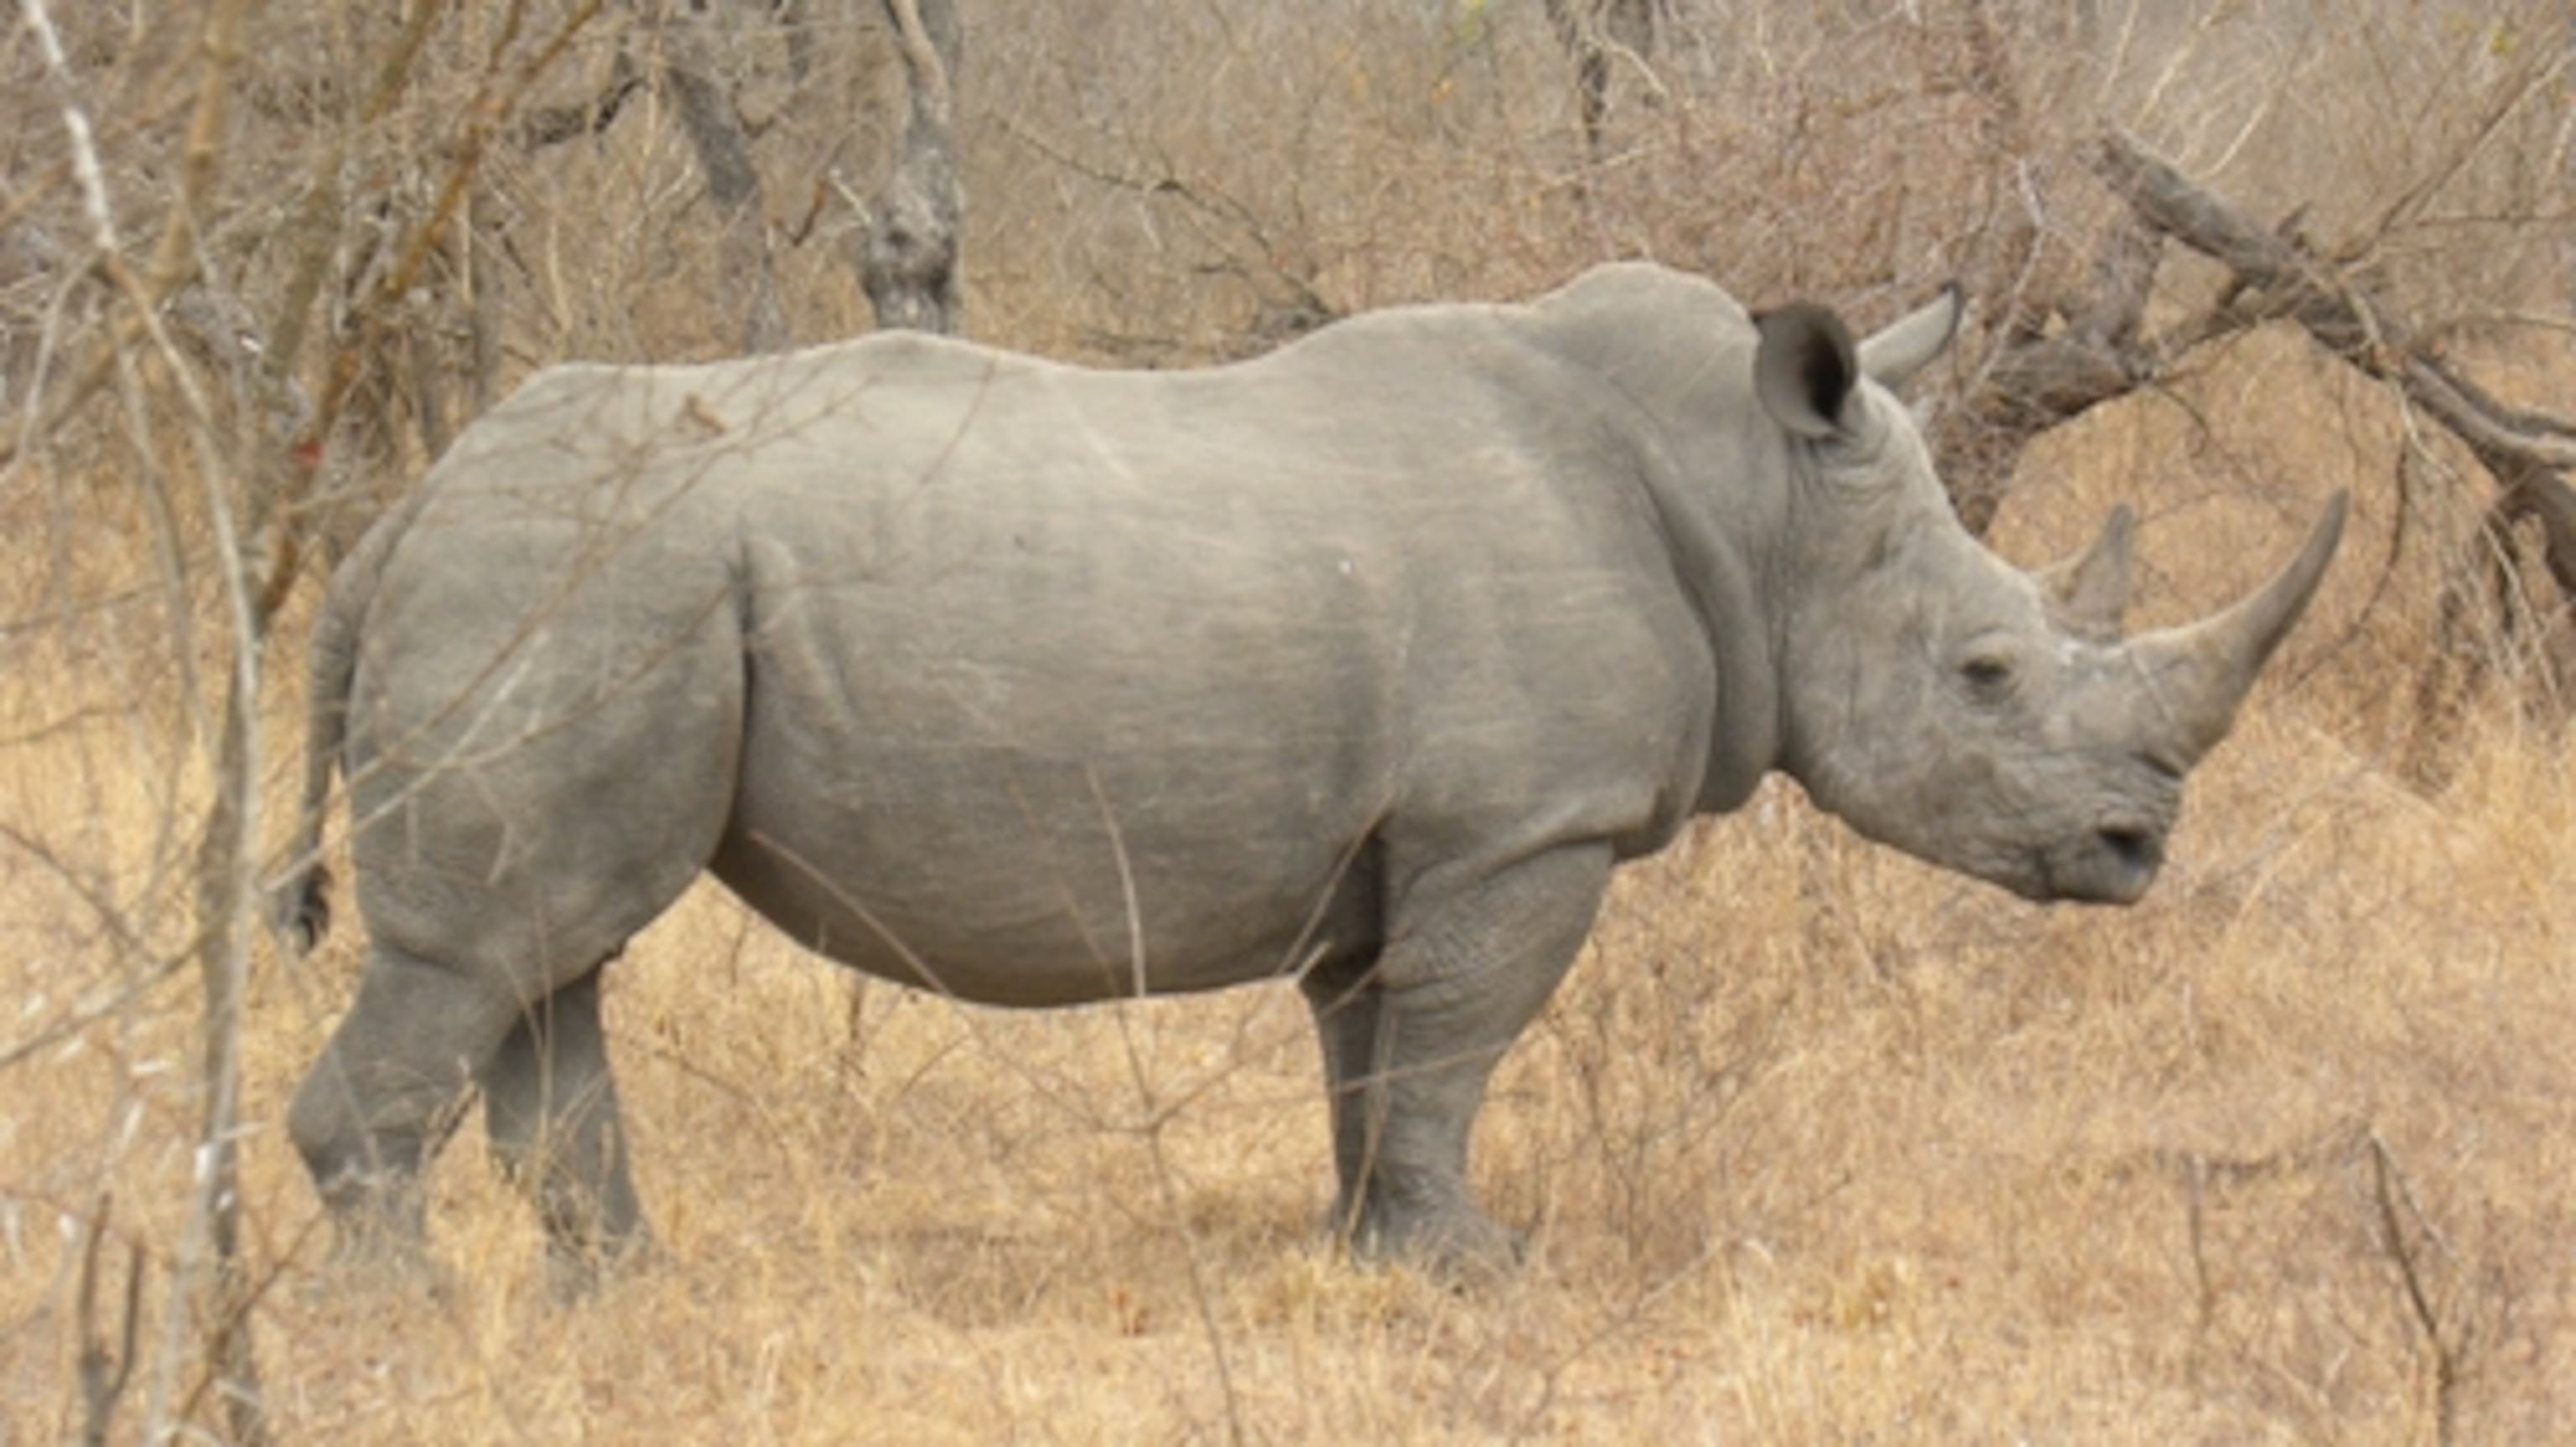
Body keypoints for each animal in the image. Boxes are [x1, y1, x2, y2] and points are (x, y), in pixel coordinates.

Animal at [272, 262, 2346, 1282]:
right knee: (491, 952)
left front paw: (1364, 1248)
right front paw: (1479, 1266)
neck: (1761, 500)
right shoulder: (1527, 824)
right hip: (569, 581)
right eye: (1988, 674)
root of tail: (393, 526)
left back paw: (626, 1290)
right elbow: (1460, 1036)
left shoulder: (1414, 834)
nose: (2136, 842)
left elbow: (1378, 1040)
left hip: (599, 585)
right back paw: (408, 1321)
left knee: (551, 951)